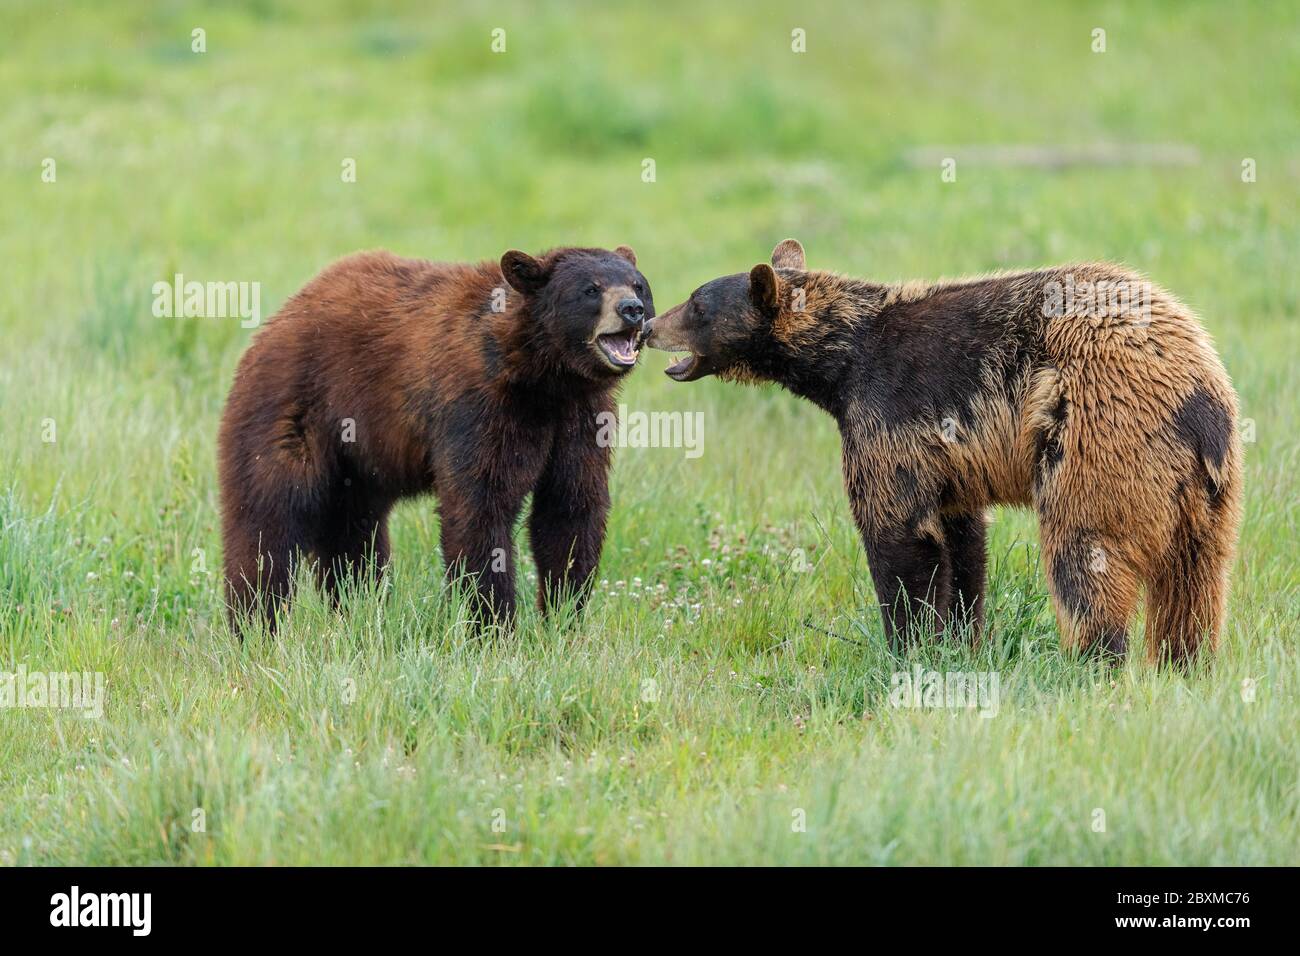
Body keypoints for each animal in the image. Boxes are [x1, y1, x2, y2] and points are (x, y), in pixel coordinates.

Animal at [218, 244, 653, 632]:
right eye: (591, 289)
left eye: (638, 283)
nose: (631, 308)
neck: (544, 377)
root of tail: (279, 318)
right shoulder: (479, 408)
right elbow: (480, 507)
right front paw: (494, 627)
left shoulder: (581, 420)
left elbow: (570, 507)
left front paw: (563, 620)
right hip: (291, 412)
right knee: (268, 521)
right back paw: (255, 624)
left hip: (357, 461)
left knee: (353, 537)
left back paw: (358, 609)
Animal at [645, 239, 1242, 665]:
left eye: (696, 303)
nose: (649, 323)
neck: (840, 368)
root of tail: (1196, 397)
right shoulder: (951, 459)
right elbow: (962, 542)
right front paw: (960, 639)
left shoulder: (890, 413)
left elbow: (898, 533)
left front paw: (907, 647)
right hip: (1208, 492)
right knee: (1195, 582)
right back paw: (1186, 664)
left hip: (1097, 438)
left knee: (1086, 556)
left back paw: (1094, 660)